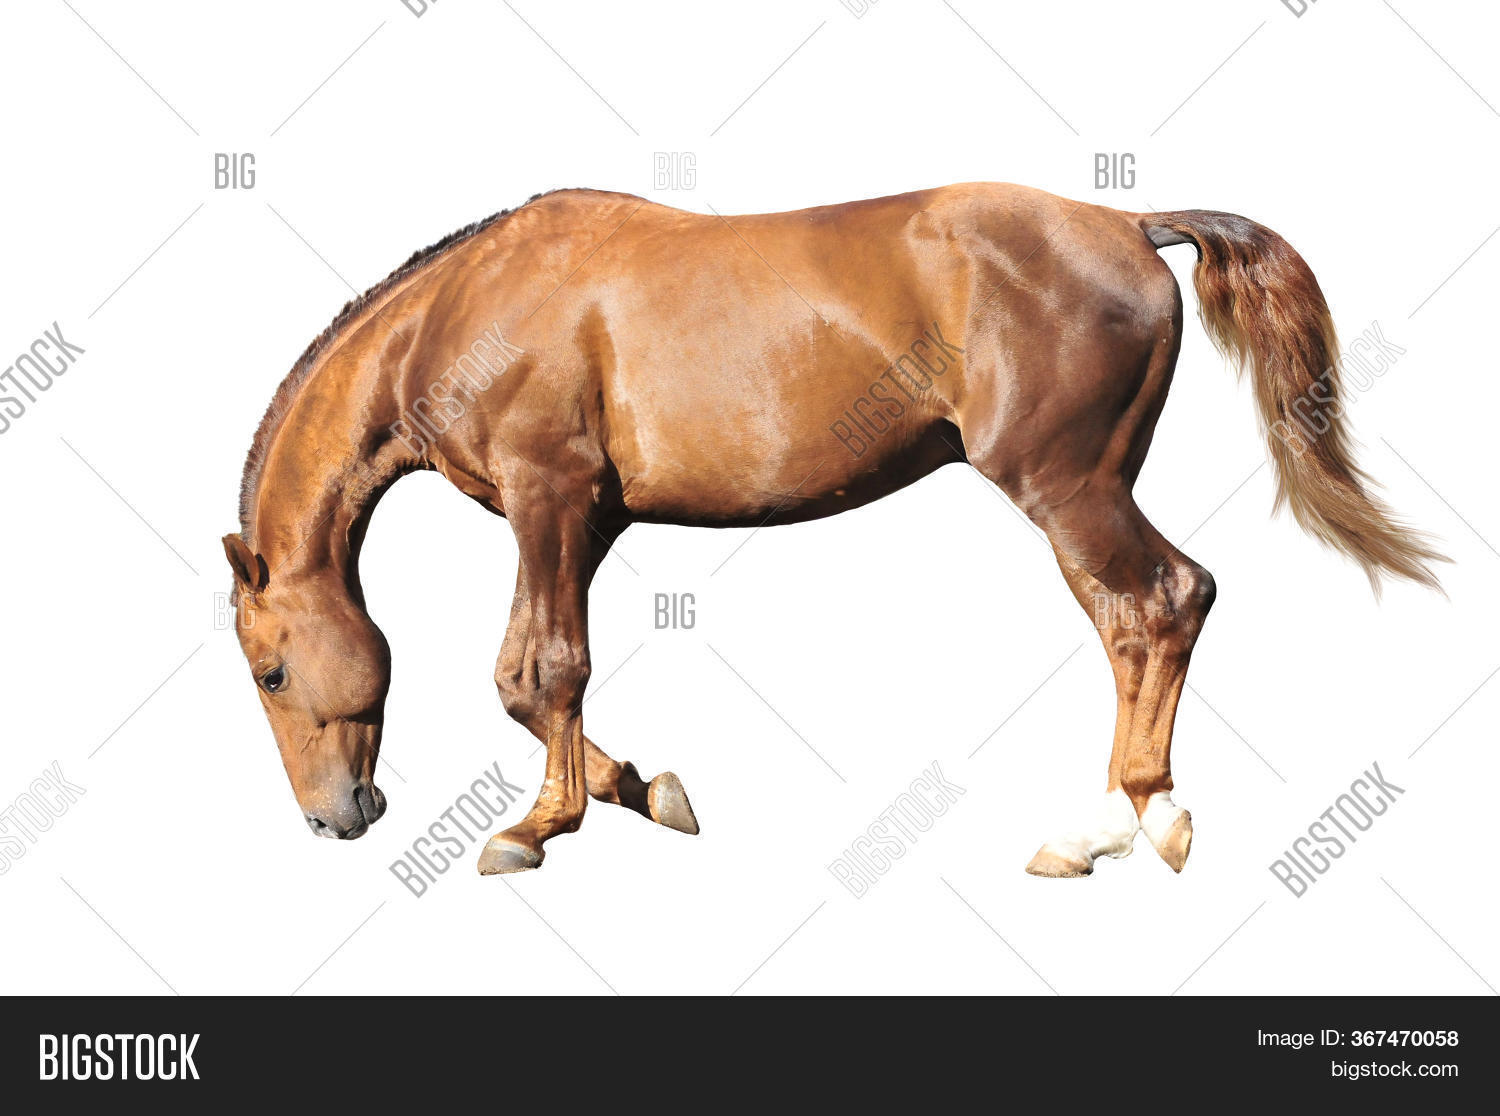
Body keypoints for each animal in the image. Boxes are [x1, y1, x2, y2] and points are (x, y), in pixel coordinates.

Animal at [224, 182, 1444, 878]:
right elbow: (549, 679)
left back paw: (1124, 825)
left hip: (1067, 487)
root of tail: (1127, 224)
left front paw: (536, 829)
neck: (466, 307)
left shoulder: (547, 497)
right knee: (1153, 610)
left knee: (1156, 606)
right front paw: (643, 790)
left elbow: (536, 674)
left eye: (271, 672)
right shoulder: (590, 520)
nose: (336, 820)